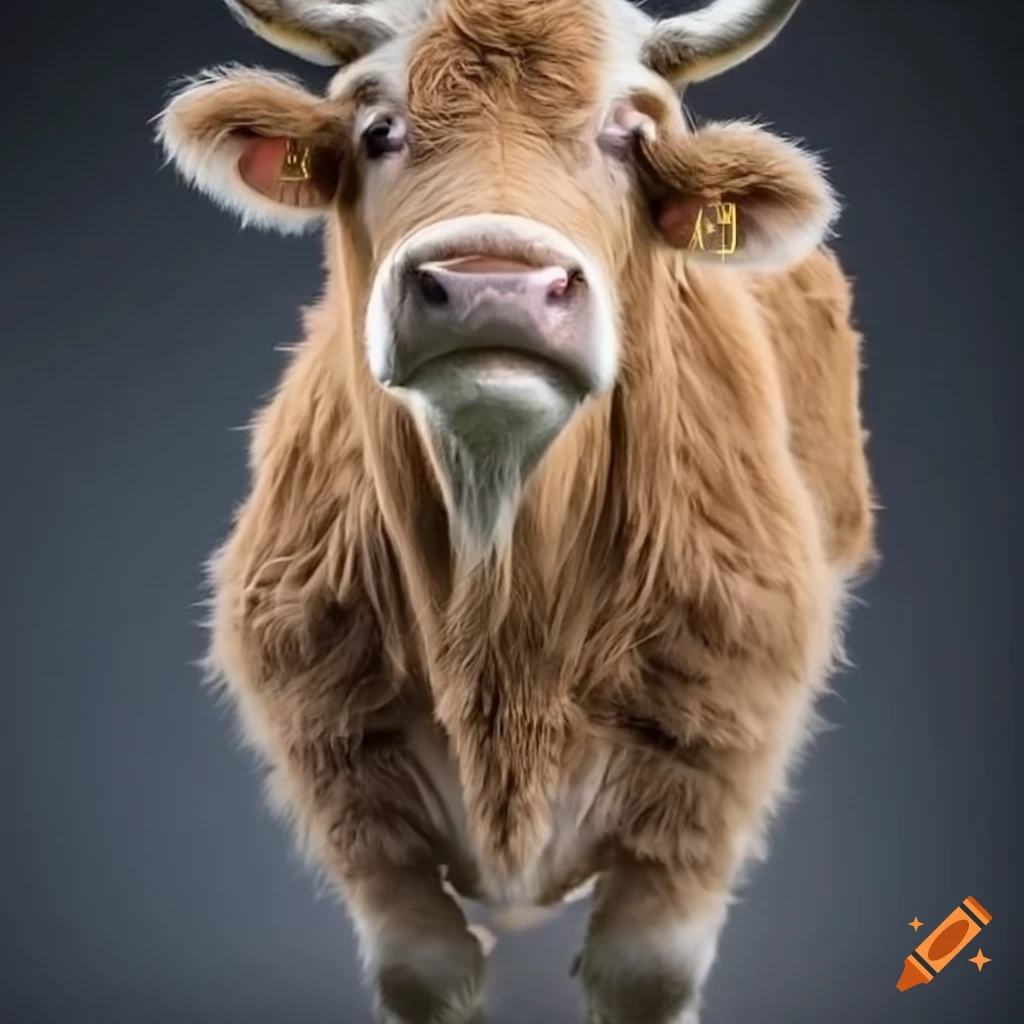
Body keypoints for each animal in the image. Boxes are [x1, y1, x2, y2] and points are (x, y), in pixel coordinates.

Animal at [156, 0, 876, 1021]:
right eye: (377, 131)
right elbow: (425, 965)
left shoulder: (708, 770)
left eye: (629, 137)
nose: (492, 283)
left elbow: (646, 968)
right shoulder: (347, 781)